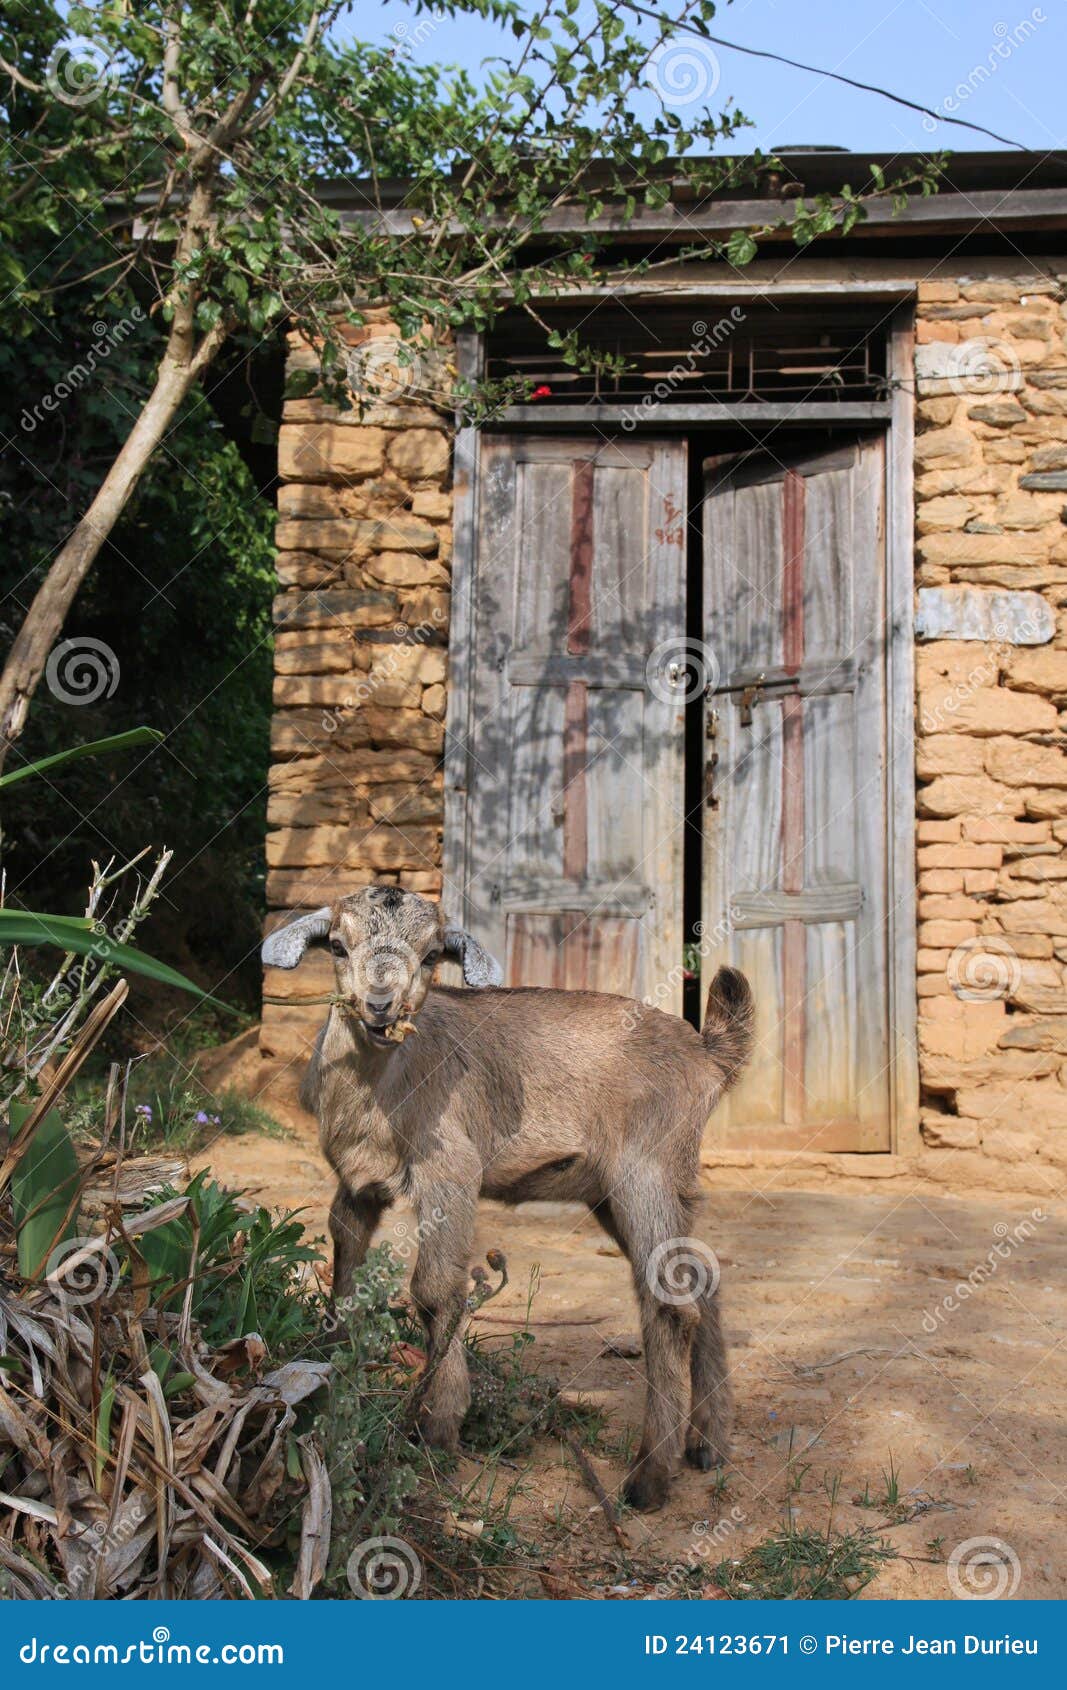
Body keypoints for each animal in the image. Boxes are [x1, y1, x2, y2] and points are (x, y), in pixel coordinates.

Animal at [262, 884, 754, 1511]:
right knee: (702, 1278)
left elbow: (433, 1291)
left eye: (431, 955)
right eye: (339, 946)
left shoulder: (450, 1170)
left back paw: (649, 1476)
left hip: (644, 1170)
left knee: (670, 1304)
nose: (380, 1006)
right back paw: (707, 1443)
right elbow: (345, 1264)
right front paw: (331, 1362)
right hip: (638, 1188)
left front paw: (438, 1424)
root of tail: (708, 1055)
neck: (381, 1088)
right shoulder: (356, 1183)